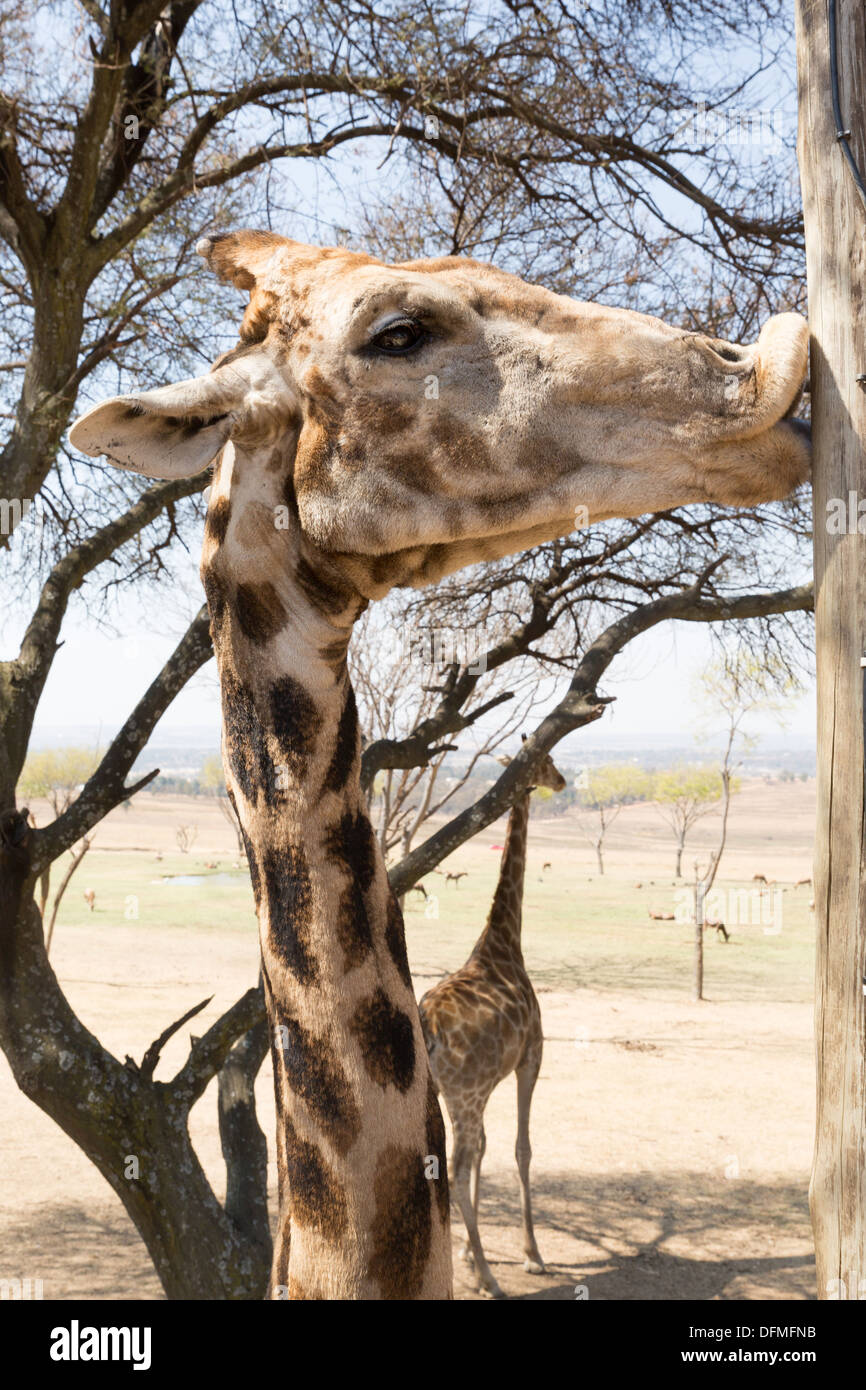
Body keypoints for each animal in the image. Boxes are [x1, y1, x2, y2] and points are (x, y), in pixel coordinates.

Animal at [419, 745, 569, 1295]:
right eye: (548, 761)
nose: (563, 781)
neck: (504, 943)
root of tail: (428, 1025)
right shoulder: (532, 1057)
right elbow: (522, 1148)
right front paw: (531, 1254)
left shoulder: (483, 1086)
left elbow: (486, 1149)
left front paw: (467, 1249)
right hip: (466, 1092)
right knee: (456, 1168)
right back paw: (488, 1278)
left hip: (446, 1093)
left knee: (448, 1161)